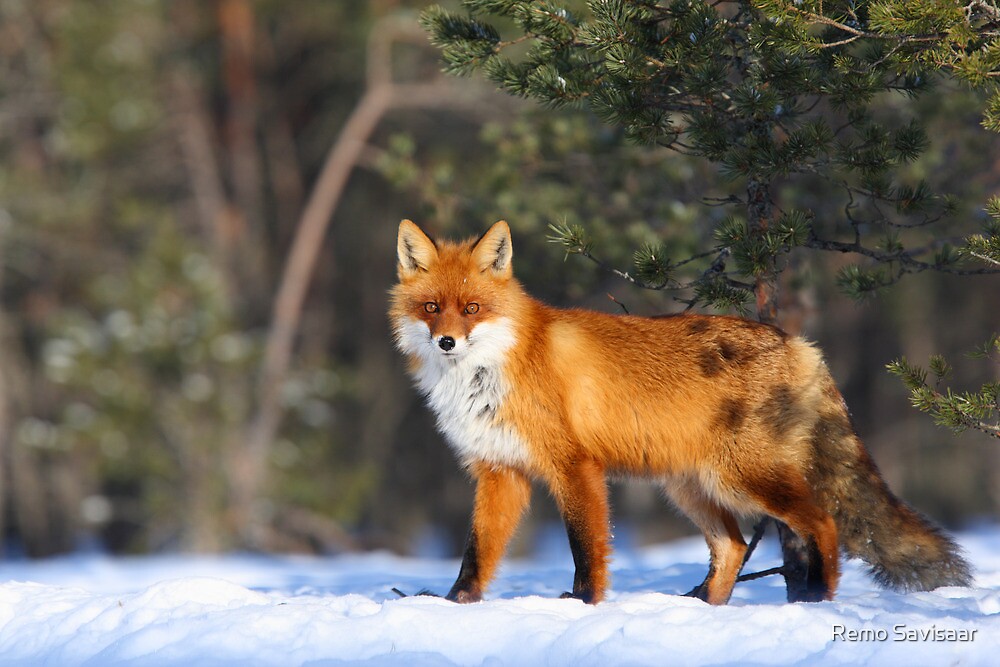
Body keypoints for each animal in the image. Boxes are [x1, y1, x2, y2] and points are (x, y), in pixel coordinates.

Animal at [389, 218, 972, 605]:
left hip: (745, 478)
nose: (446, 342)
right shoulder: (499, 471)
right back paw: (707, 607)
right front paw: (455, 606)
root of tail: (800, 344)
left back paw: (819, 597)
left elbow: (586, 551)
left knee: (821, 521)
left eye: (472, 309)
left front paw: (584, 607)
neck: (487, 377)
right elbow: (477, 552)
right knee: (733, 547)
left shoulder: (575, 468)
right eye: (431, 307)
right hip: (689, 486)